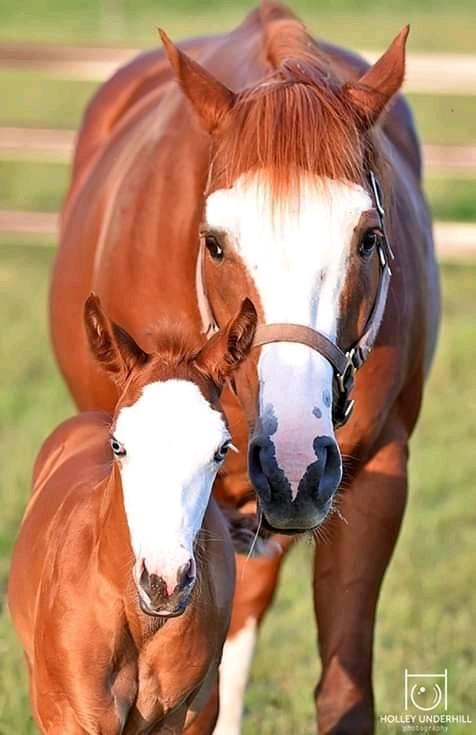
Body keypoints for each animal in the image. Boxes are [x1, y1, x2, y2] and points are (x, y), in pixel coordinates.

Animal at [9, 294, 259, 734]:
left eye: (221, 449)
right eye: (118, 445)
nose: (164, 581)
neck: (140, 622)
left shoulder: (192, 717)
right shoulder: (72, 718)